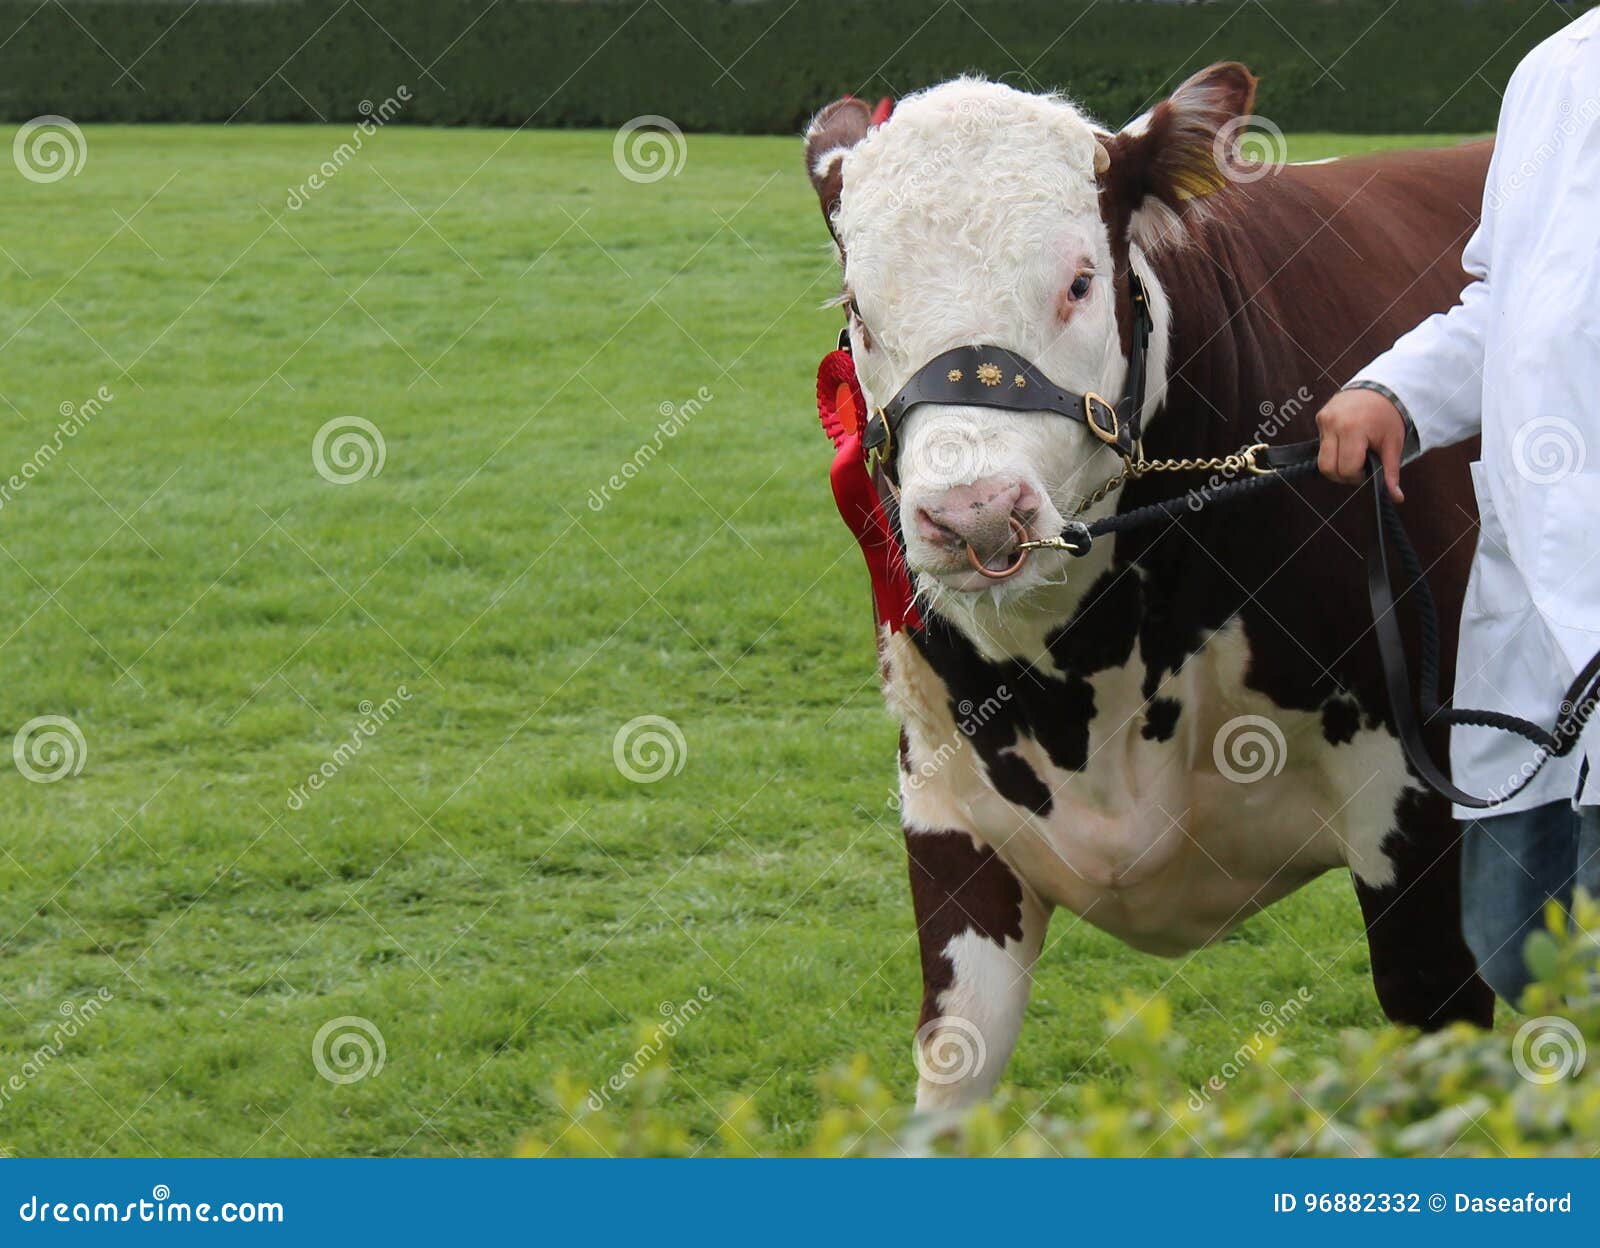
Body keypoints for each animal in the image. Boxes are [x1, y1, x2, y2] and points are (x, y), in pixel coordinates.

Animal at [802, 63, 1495, 1110]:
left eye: (1080, 282)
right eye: (858, 306)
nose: (974, 515)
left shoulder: (1423, 818)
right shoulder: (950, 816)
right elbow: (955, 1066)